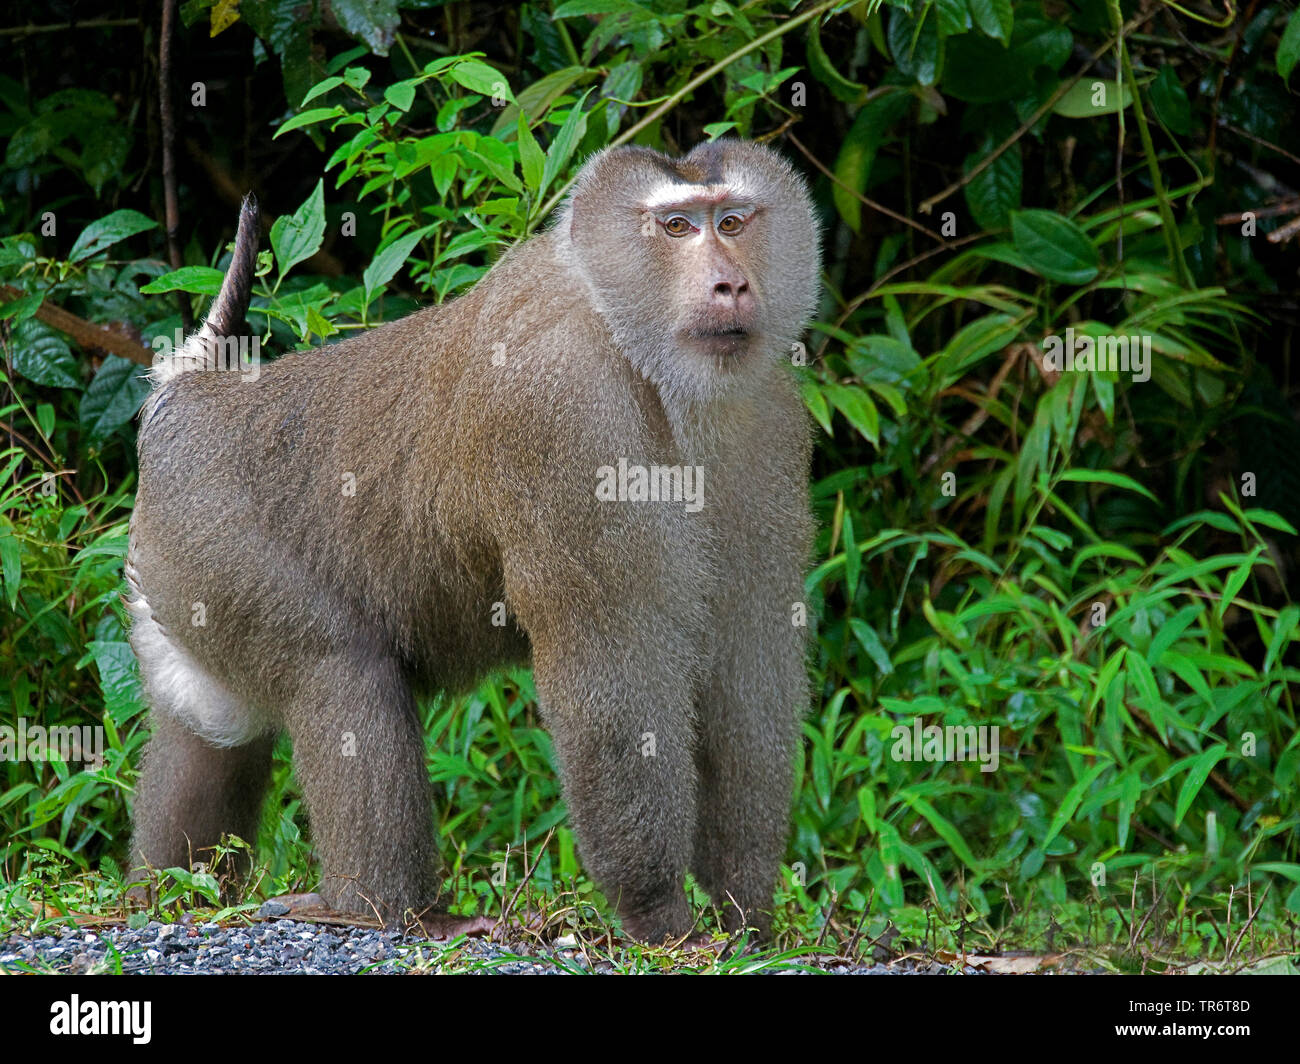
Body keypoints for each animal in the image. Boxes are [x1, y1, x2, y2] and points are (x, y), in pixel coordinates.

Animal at [125, 139, 821, 943]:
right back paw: (374, 907)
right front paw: (661, 914)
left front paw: (748, 912)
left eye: (733, 220)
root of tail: (194, 391)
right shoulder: (562, 415)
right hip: (213, 538)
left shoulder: (769, 423)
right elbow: (611, 661)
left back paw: (167, 892)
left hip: (180, 575)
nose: (730, 282)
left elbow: (749, 661)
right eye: (677, 226)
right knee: (341, 665)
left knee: (211, 724)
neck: (634, 347)